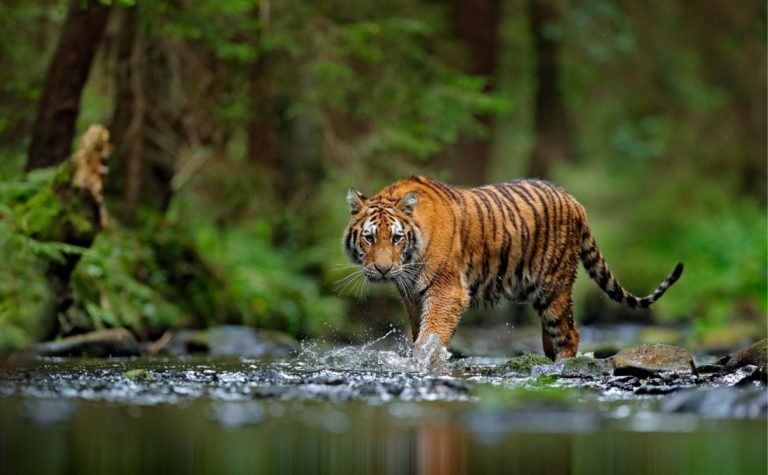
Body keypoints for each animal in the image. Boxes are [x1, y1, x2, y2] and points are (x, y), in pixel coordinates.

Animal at [342, 176, 683, 361]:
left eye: (396, 238)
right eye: (369, 238)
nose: (383, 270)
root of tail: (574, 200)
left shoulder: (446, 291)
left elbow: (431, 335)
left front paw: (424, 362)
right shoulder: (413, 296)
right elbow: (419, 333)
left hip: (554, 287)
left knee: (569, 333)